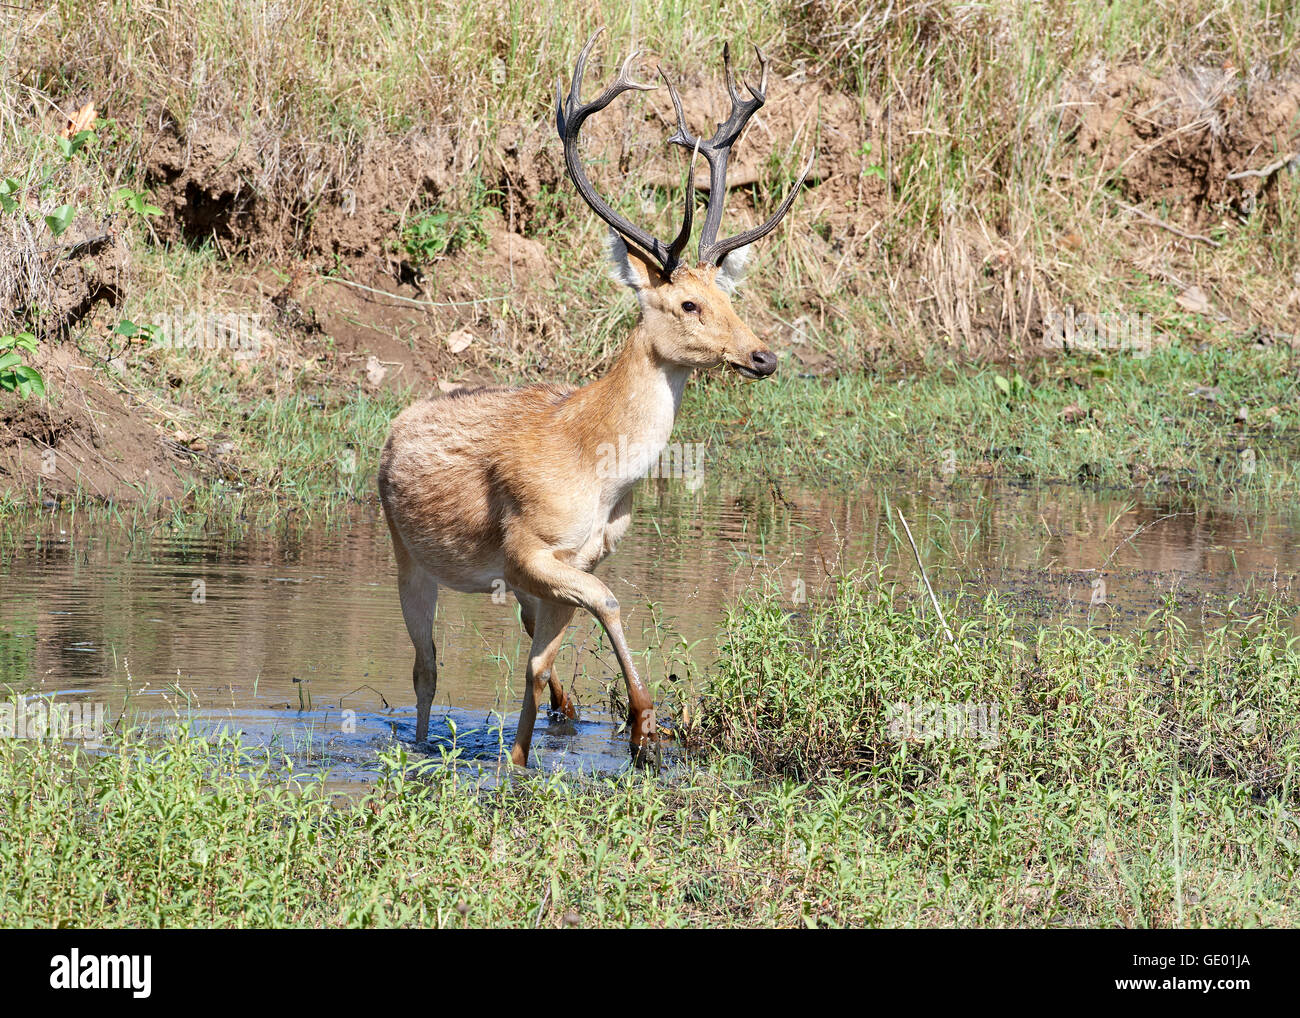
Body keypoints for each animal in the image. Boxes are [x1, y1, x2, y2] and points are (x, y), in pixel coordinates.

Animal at [378, 29, 812, 767]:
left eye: (730, 295)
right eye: (688, 303)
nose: (763, 356)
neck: (599, 468)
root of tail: (392, 430)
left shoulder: (575, 561)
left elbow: (540, 660)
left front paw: (531, 755)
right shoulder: (528, 547)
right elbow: (606, 604)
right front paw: (643, 727)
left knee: (516, 656)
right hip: (409, 556)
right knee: (425, 667)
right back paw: (422, 746)